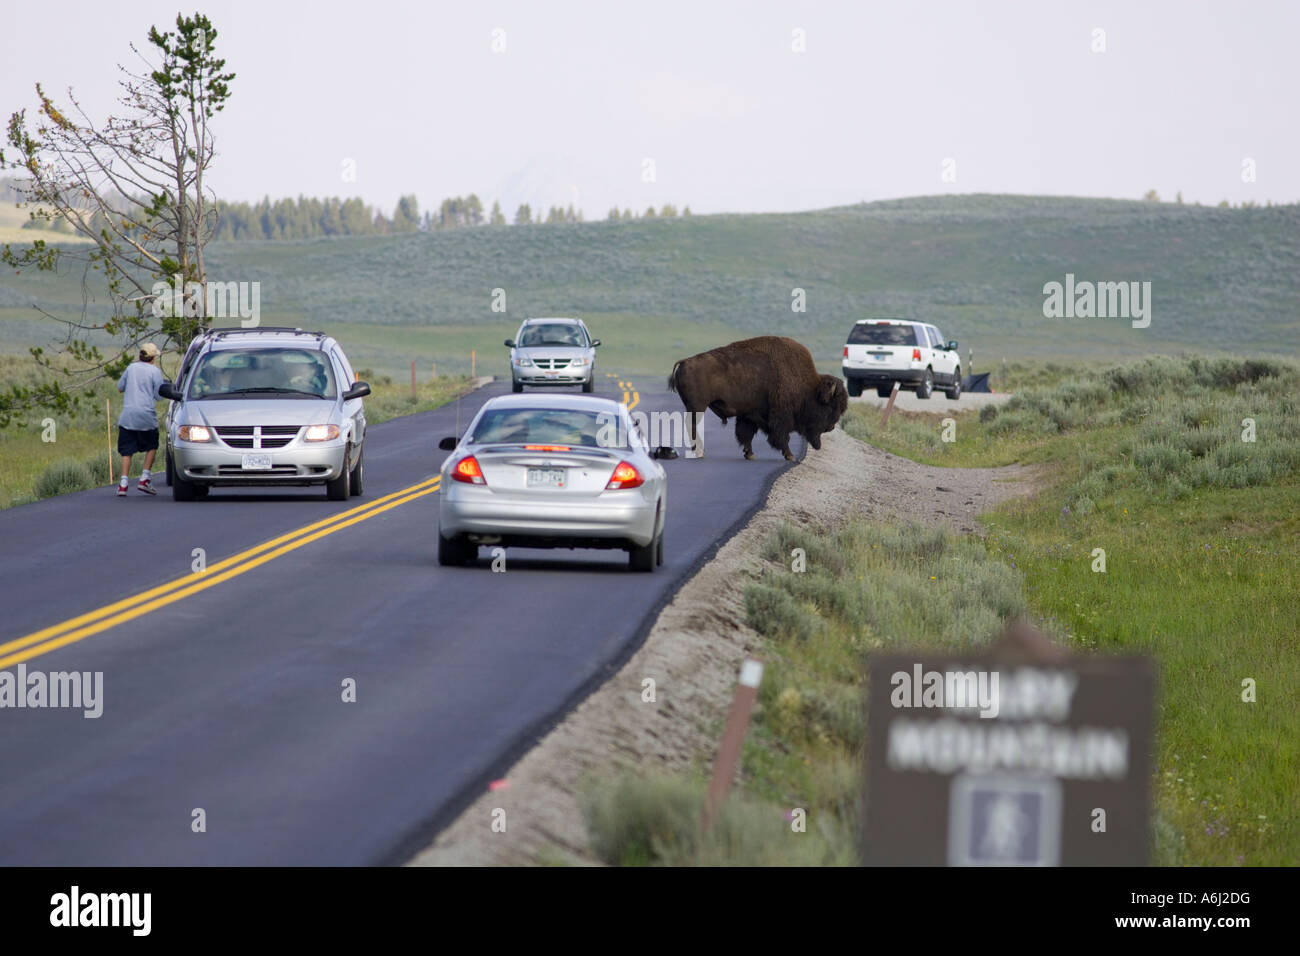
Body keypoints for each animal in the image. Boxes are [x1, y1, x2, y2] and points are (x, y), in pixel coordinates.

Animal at [667, 336, 849, 460]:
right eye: (831, 407)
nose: (831, 427)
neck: (809, 386)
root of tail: (684, 362)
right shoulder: (781, 416)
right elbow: (782, 436)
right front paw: (789, 455)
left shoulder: (748, 414)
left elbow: (746, 434)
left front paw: (749, 454)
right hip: (697, 407)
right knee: (691, 426)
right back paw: (699, 452)